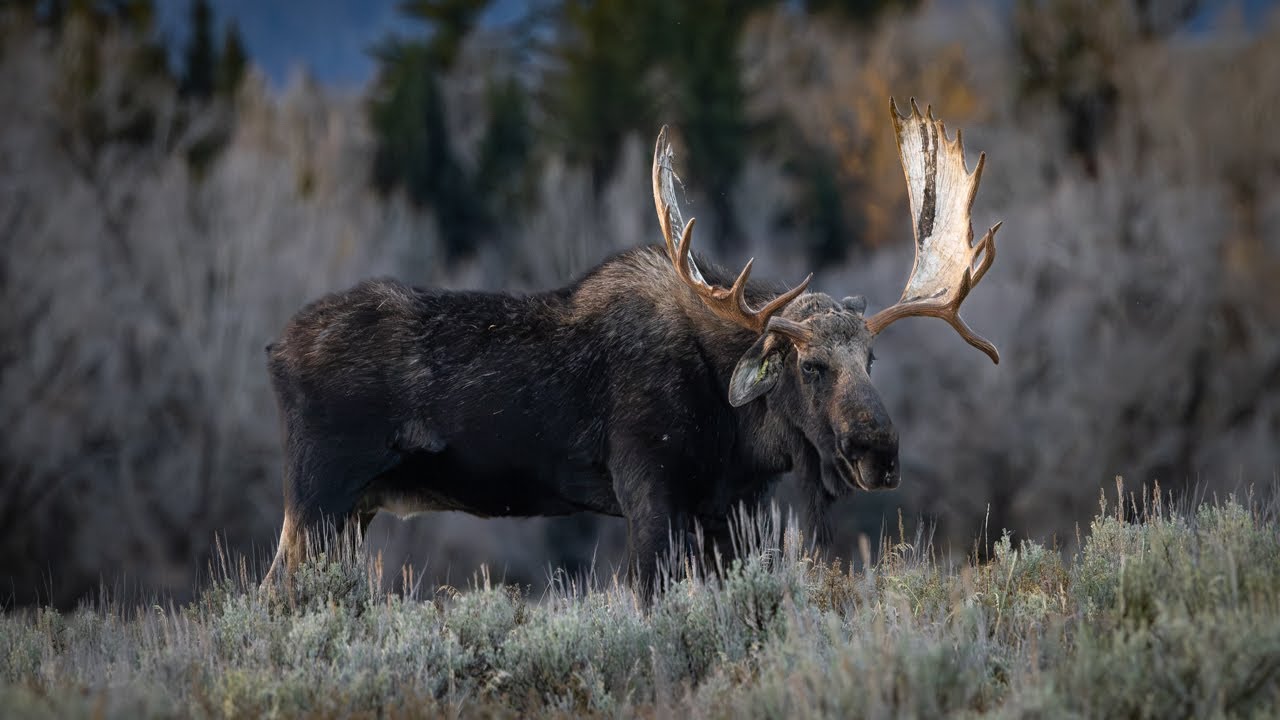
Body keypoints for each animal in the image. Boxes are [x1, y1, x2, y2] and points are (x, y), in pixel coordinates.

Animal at [260, 99, 1001, 594]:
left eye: (871, 361)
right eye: (812, 366)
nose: (881, 455)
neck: (739, 429)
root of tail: (275, 350)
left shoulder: (727, 510)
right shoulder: (648, 490)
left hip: (353, 508)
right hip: (318, 493)